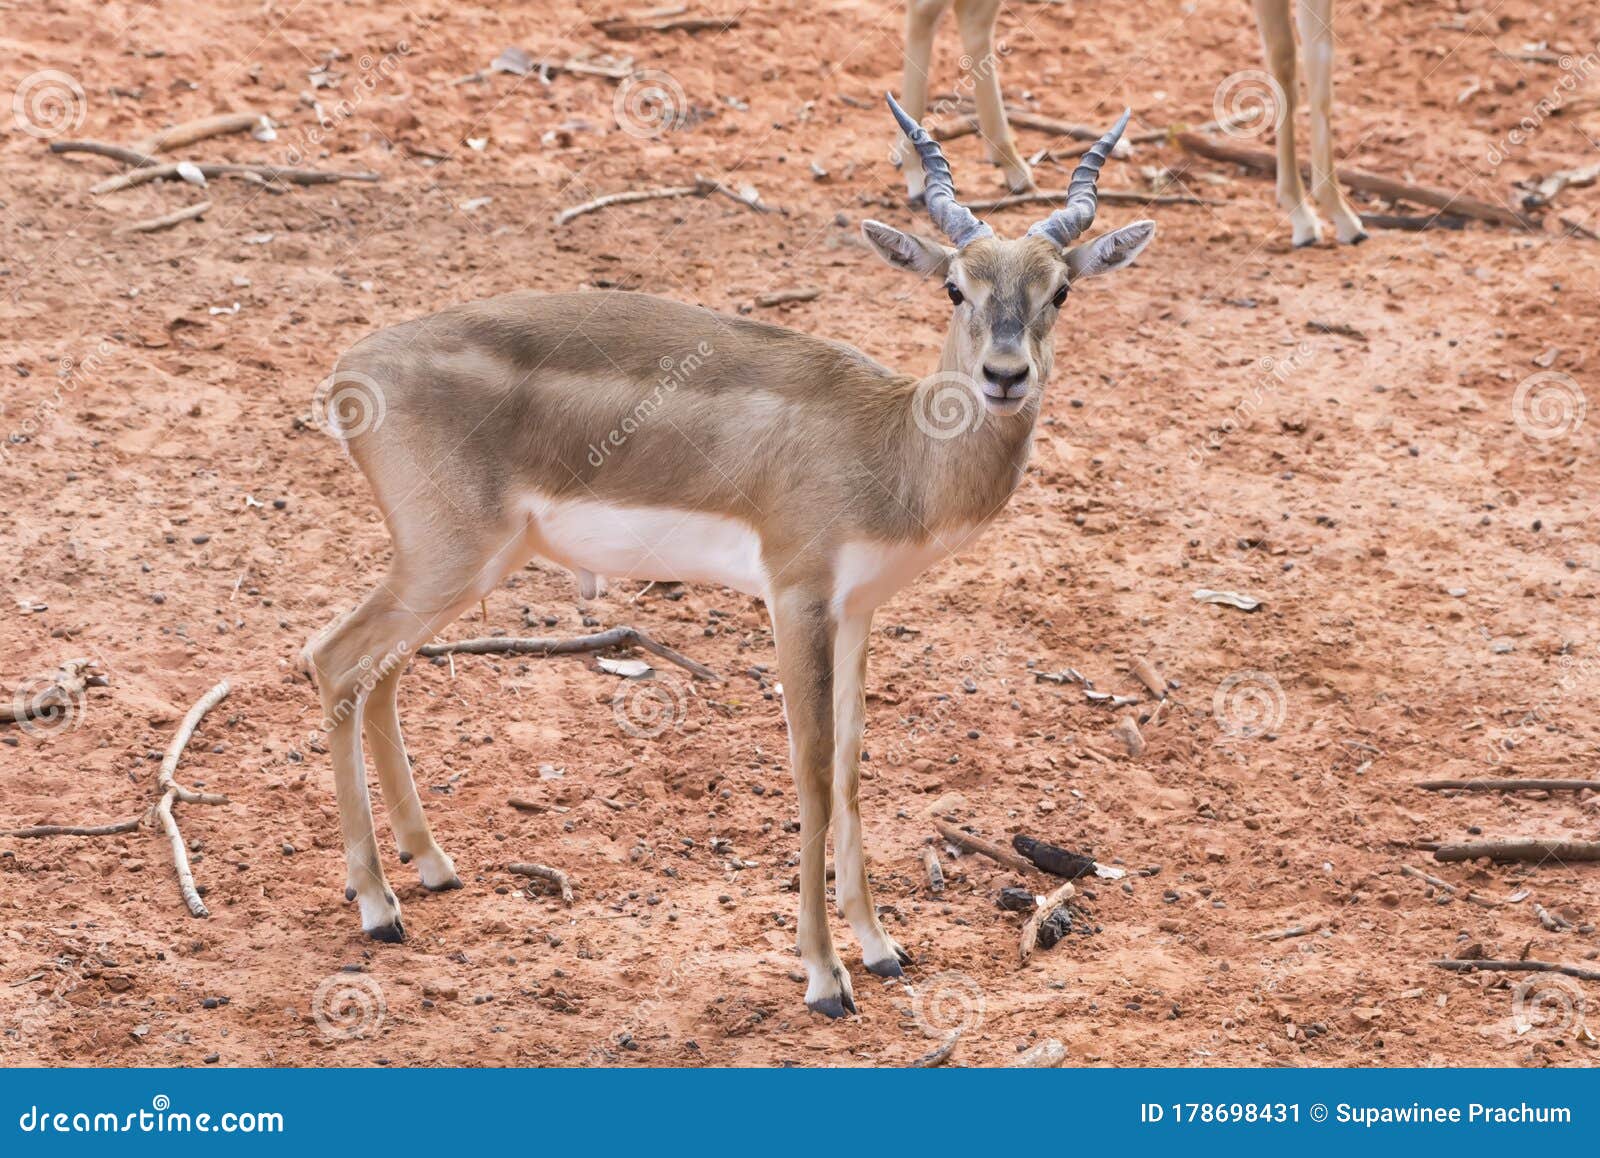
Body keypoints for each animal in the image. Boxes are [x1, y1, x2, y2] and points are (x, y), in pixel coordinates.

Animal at [303, 96, 1152, 1017]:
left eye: (1059, 290)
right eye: (954, 285)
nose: (1004, 375)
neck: (894, 445)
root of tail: (350, 368)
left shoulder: (857, 609)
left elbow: (852, 767)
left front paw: (881, 948)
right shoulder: (796, 595)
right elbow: (811, 772)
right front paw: (824, 976)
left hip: (464, 571)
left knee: (381, 675)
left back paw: (430, 867)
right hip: (448, 559)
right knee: (335, 658)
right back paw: (378, 906)